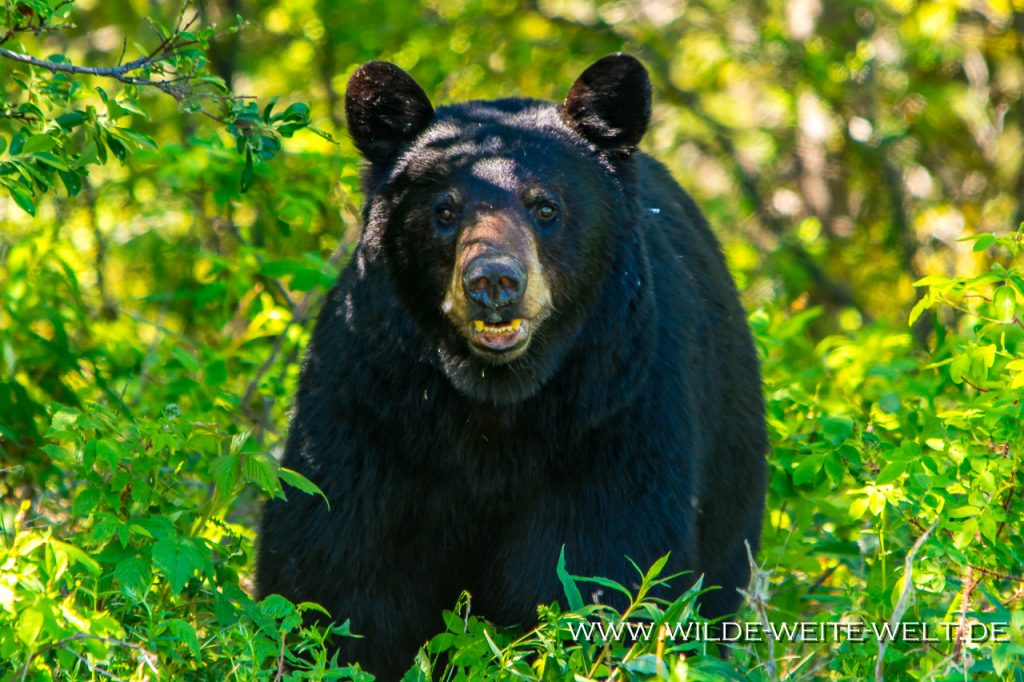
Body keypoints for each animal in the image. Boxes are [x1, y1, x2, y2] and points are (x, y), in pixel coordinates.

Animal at [257, 54, 767, 679]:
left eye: (545, 206)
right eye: (444, 210)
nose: (494, 281)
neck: (495, 405)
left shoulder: (617, 417)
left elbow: (599, 572)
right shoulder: (370, 412)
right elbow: (335, 573)